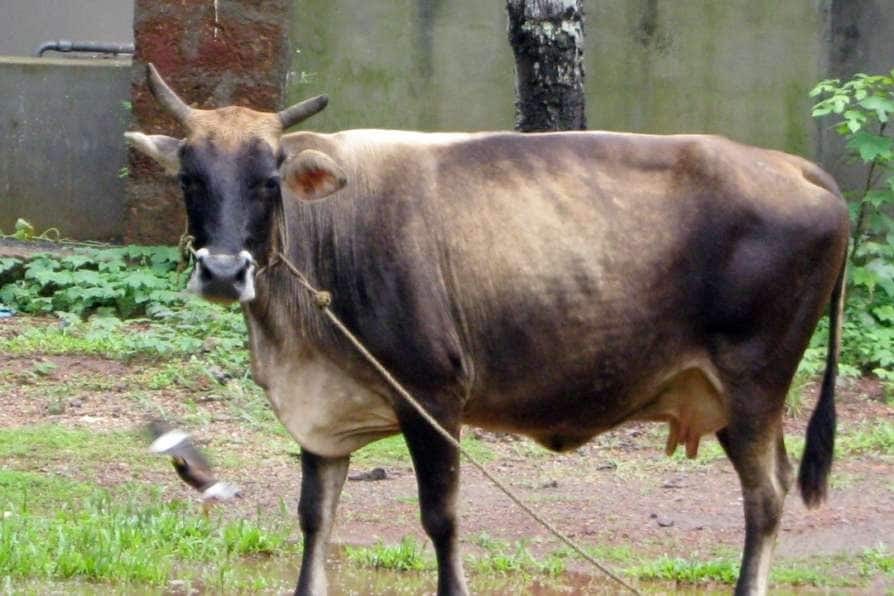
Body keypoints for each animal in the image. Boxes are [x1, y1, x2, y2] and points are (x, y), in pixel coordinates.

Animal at [125, 64, 849, 596]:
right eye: (189, 176)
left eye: (269, 178)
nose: (223, 272)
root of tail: (794, 166)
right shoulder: (324, 412)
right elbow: (315, 519)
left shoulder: (432, 396)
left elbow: (441, 518)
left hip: (754, 385)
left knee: (766, 498)